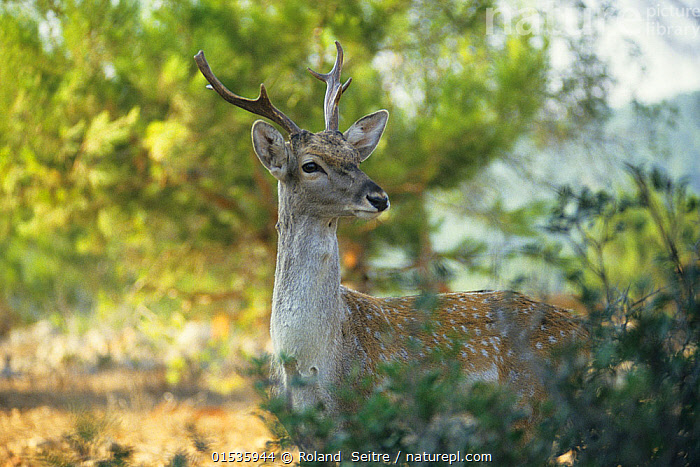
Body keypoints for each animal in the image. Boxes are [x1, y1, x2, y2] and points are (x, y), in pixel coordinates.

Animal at [194, 42, 584, 429]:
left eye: (355, 158)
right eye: (310, 165)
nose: (379, 197)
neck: (315, 367)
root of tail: (585, 330)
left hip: (532, 411)